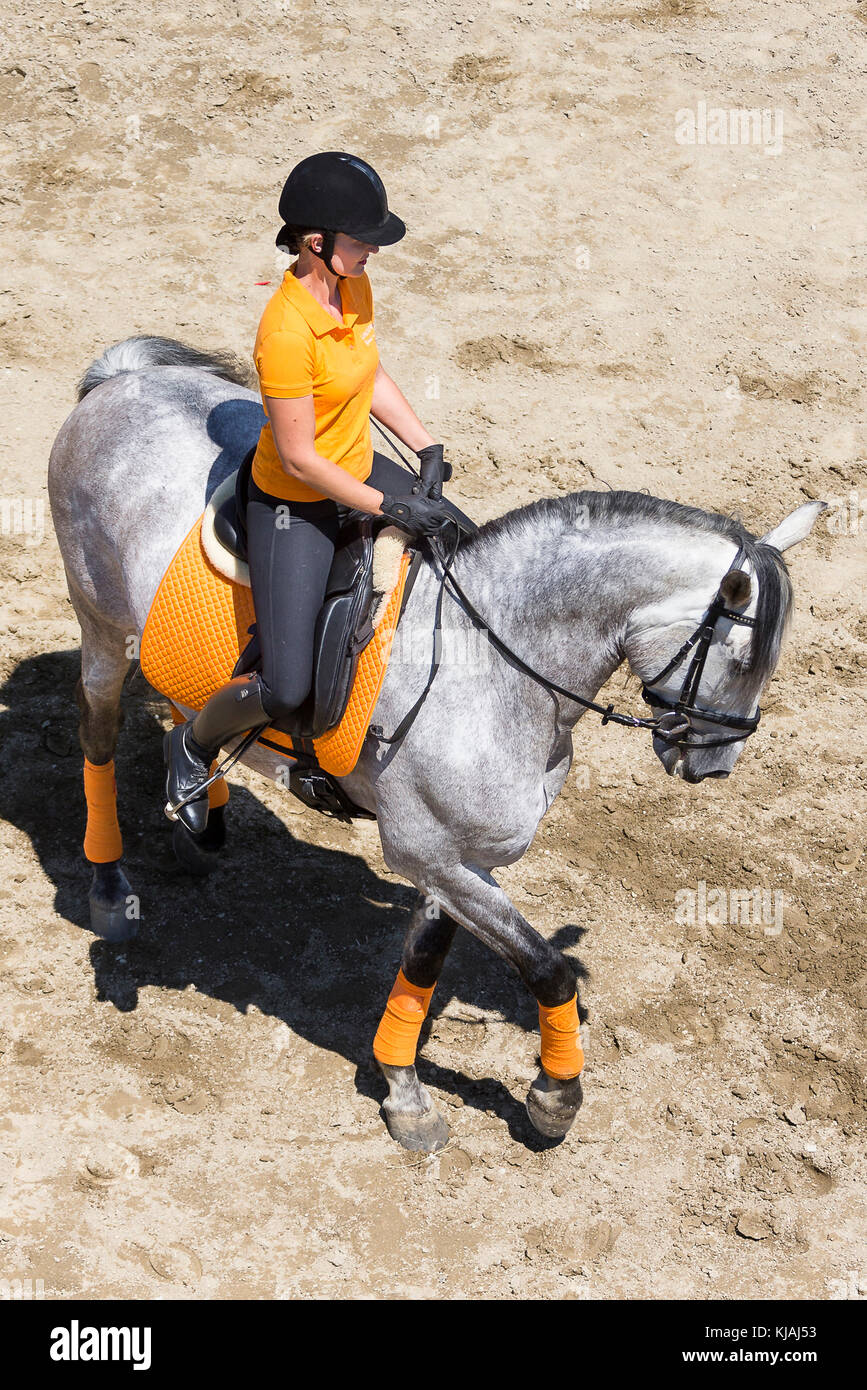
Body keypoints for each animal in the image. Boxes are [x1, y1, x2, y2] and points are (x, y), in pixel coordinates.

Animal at [47, 336, 824, 1152]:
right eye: (741, 657)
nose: (716, 763)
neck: (498, 666)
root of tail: (126, 379)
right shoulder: (427, 850)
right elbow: (545, 967)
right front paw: (554, 1097)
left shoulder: (458, 857)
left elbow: (423, 961)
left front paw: (403, 1088)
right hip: (101, 625)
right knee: (97, 737)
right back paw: (113, 887)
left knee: (181, 706)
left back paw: (196, 809)